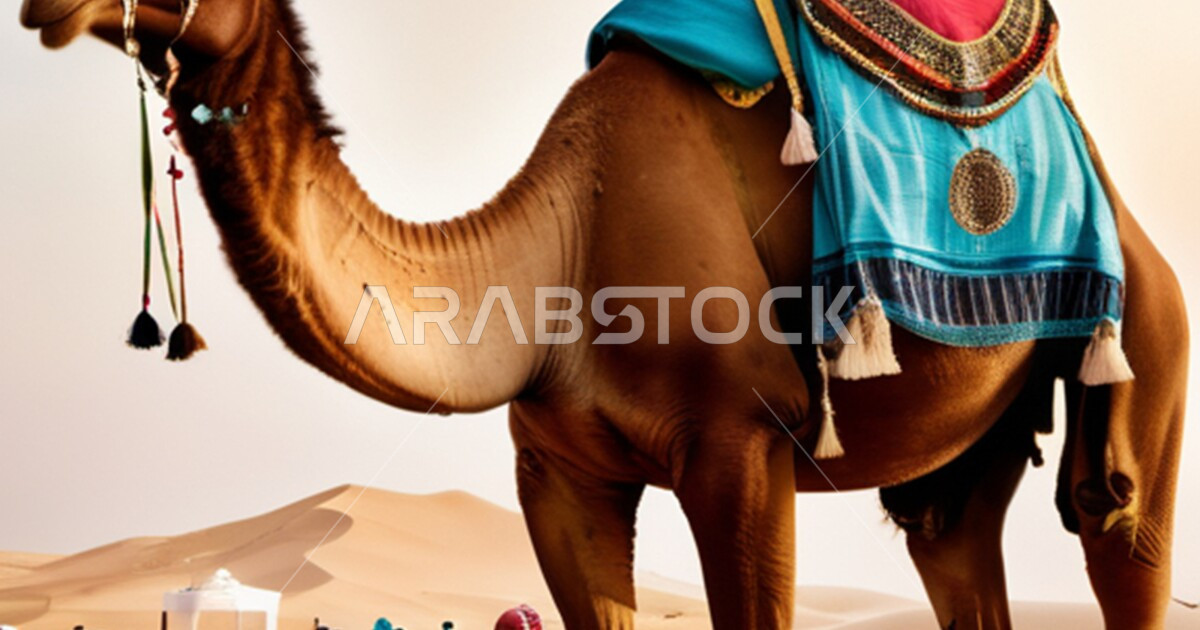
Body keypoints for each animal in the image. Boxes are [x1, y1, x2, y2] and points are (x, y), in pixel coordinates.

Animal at [19, 0, 1187, 628]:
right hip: (967, 451)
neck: (557, 250)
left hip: (1151, 334)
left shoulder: (741, 443)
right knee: (952, 531)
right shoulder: (559, 470)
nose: (46, 7)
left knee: (1114, 520)